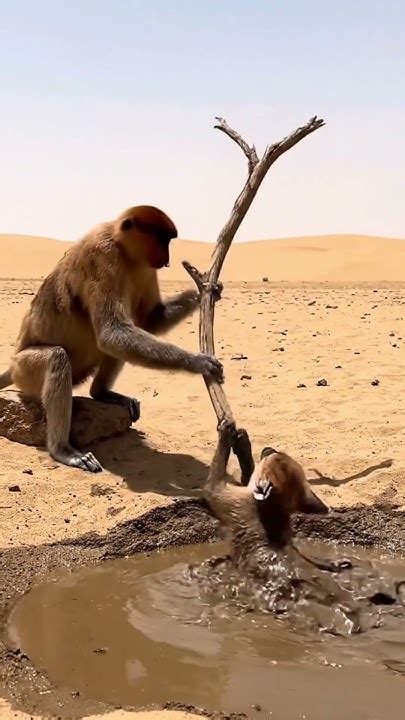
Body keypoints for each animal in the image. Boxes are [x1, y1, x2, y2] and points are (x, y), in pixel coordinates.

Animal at [0, 205, 224, 473]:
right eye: (162, 239)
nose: (167, 259)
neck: (122, 247)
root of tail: (12, 365)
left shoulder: (146, 267)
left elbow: (150, 320)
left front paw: (206, 290)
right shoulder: (102, 256)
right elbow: (111, 333)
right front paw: (199, 362)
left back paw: (102, 393)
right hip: (24, 370)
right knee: (58, 358)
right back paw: (63, 450)